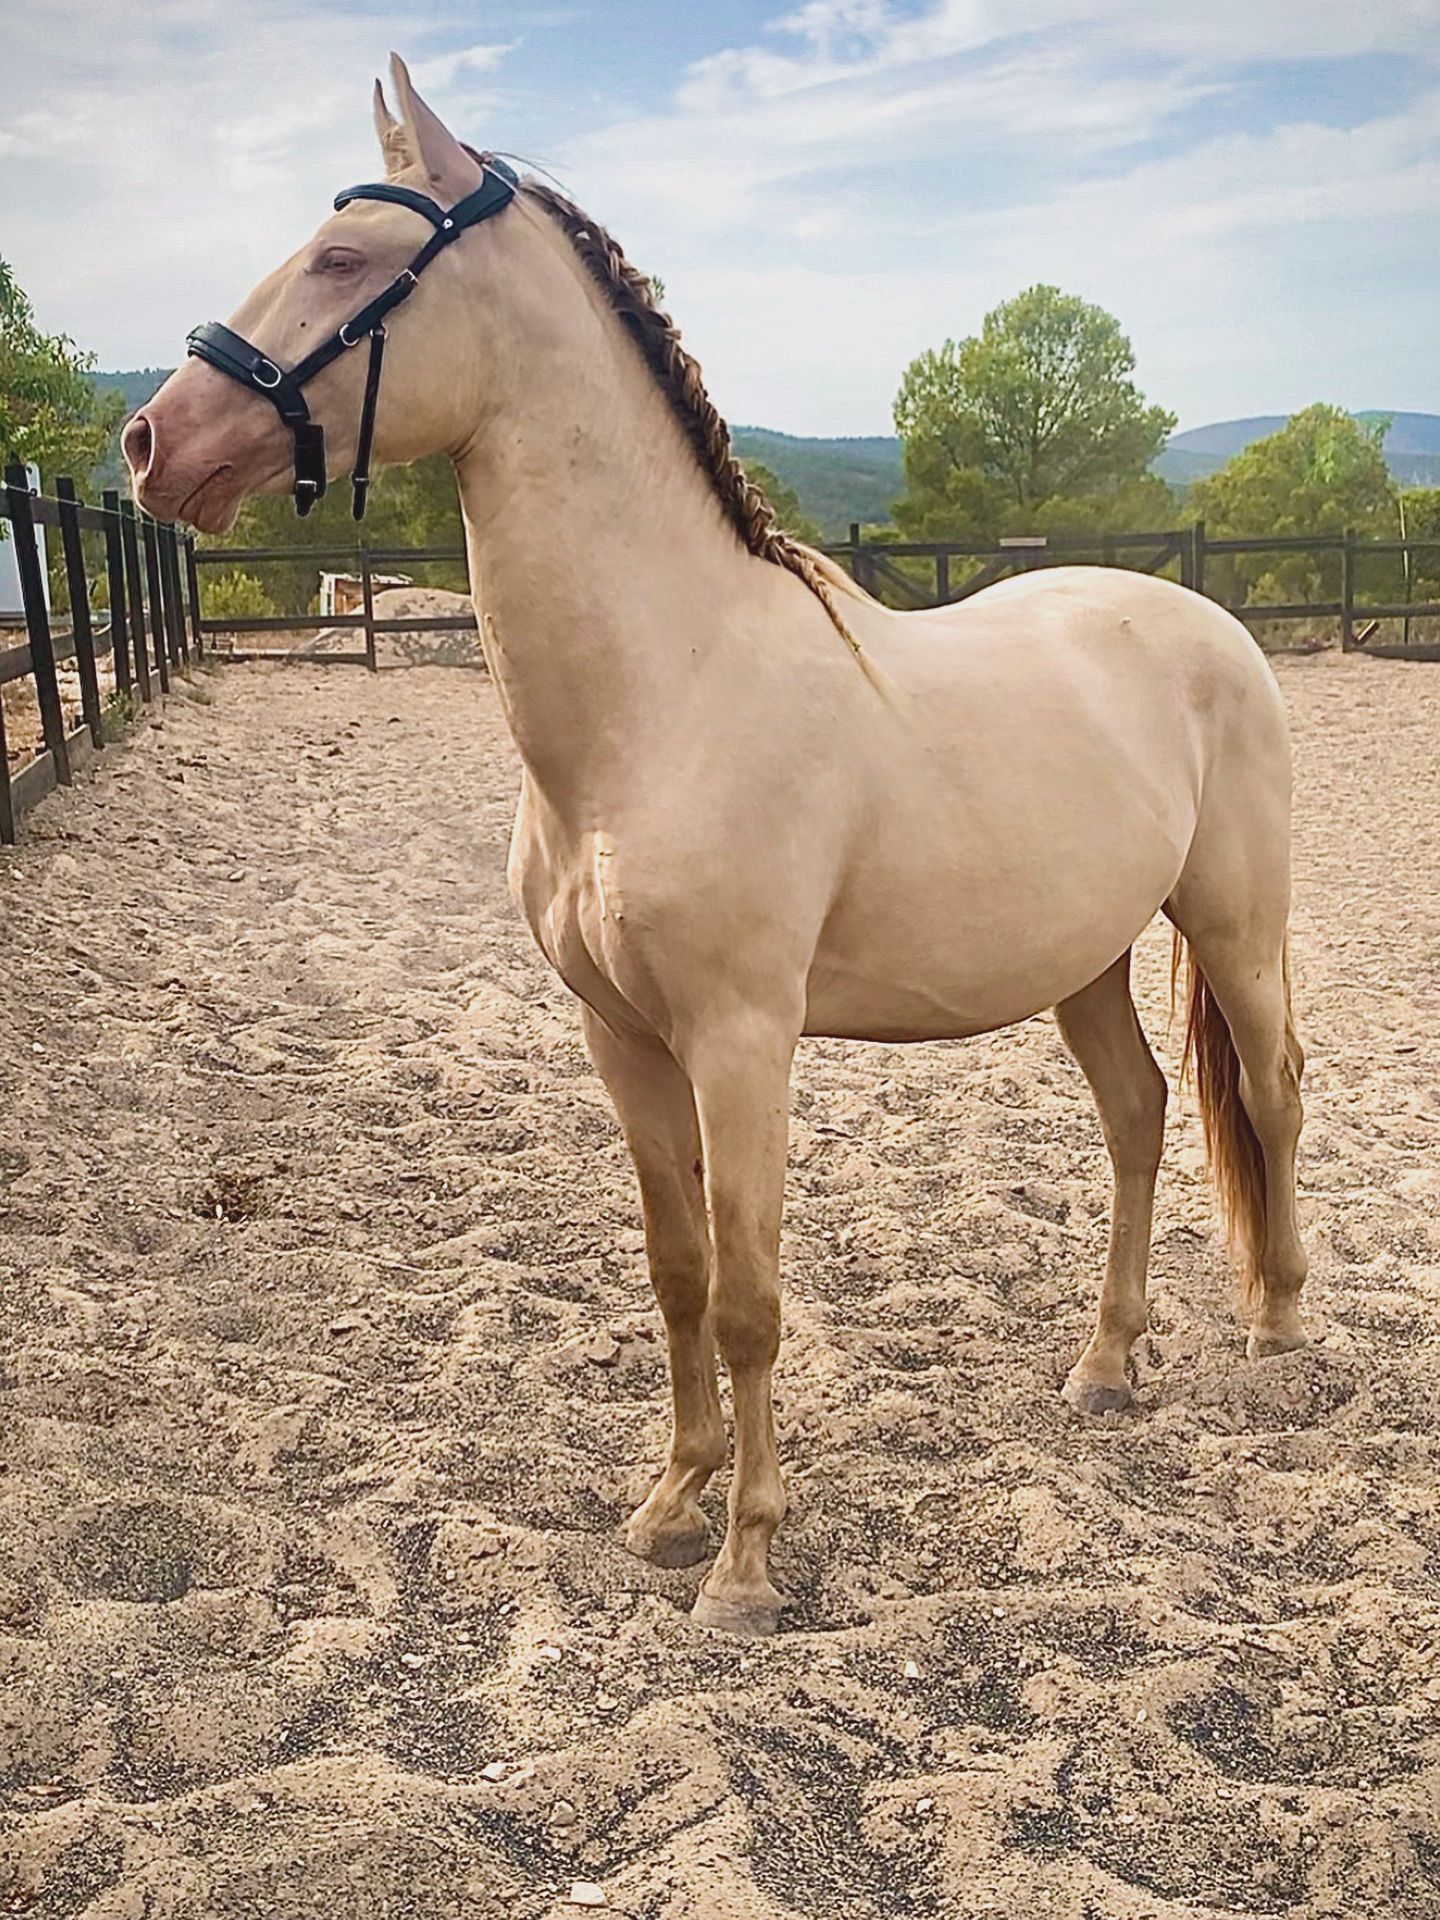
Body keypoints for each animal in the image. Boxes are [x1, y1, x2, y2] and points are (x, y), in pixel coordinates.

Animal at [126, 56, 1308, 1637]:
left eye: (345, 260)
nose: (155, 443)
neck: (661, 698)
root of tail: (1204, 622)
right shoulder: (624, 1038)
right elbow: (679, 1271)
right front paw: (670, 1508)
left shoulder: (744, 1039)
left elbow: (752, 1296)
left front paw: (746, 1565)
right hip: (1085, 960)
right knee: (1139, 1115)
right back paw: (1104, 1367)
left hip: (1235, 923)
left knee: (1276, 1097)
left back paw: (1279, 1331)